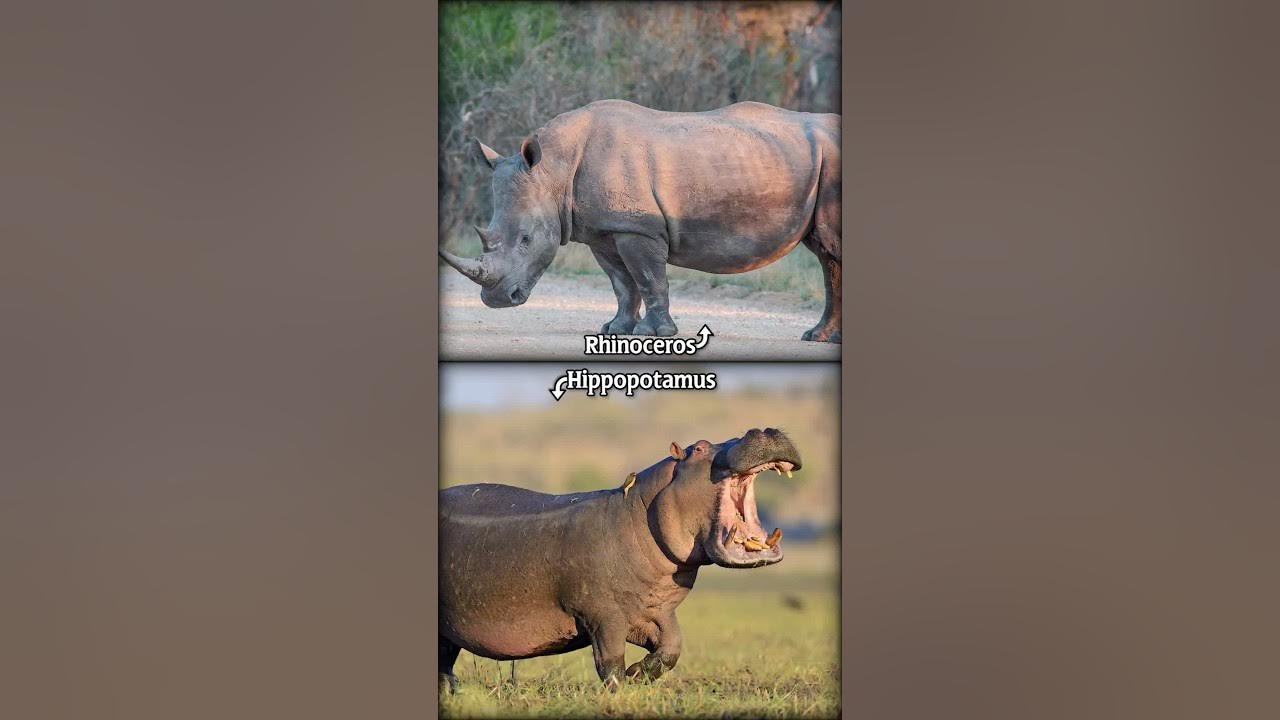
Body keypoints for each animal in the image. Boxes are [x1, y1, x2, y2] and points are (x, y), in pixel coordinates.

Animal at [439, 100, 842, 343]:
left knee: (829, 251)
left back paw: (816, 336)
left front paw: (654, 333)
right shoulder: (604, 230)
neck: (554, 170)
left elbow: (649, 278)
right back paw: (820, 337)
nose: (497, 300)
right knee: (827, 255)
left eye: (526, 239)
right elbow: (622, 283)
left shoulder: (638, 228)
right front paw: (614, 330)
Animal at [439, 428, 802, 692]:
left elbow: (672, 649)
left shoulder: (656, 612)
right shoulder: (604, 614)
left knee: (444, 659)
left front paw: (638, 675)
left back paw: (453, 691)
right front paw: (621, 688)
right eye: (698, 448)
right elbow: (609, 661)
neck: (641, 509)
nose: (764, 429)